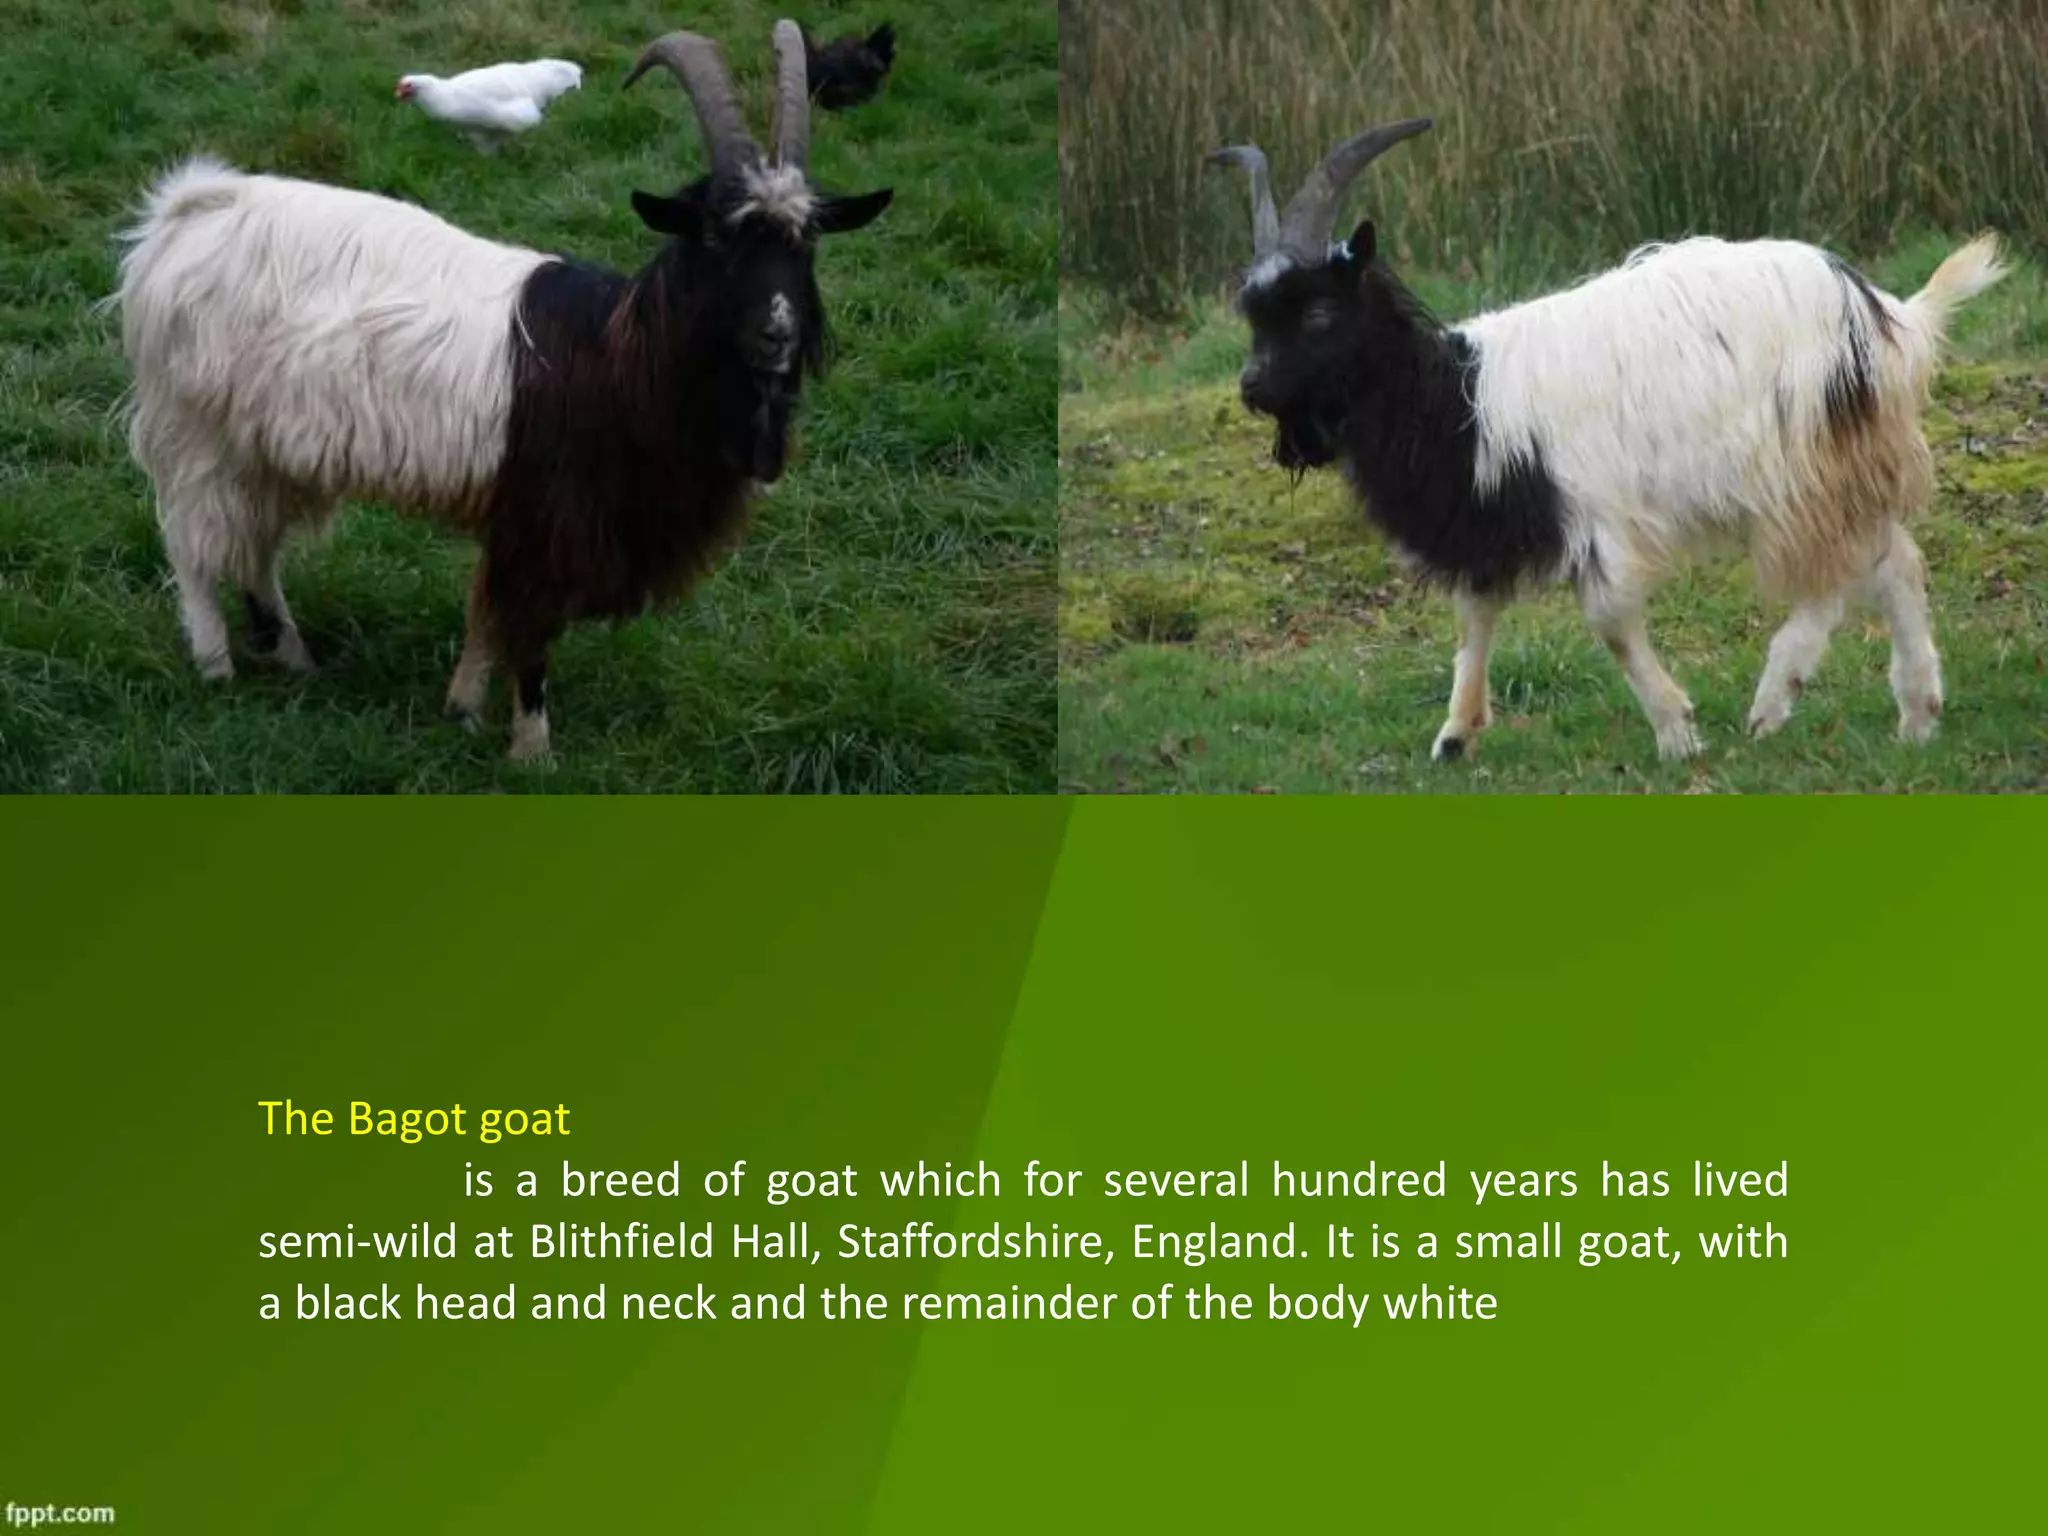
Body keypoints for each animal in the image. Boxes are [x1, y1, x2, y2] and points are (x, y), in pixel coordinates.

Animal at [117, 23, 891, 762]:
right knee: (192, 541)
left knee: (255, 549)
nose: (777, 331)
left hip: (268, 449)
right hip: (201, 430)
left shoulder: (518, 514)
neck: (621, 357)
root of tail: (185, 213)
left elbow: (486, 614)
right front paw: (531, 750)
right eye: (715, 237)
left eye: (807, 241)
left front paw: (460, 708)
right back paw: (216, 665)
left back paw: (295, 657)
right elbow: (528, 631)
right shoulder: (551, 517)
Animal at [1209, 122, 2007, 763]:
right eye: (1253, 314)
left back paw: (1775, 696)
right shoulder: (1490, 513)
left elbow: (1611, 626)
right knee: (1895, 561)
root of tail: (1886, 314)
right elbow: (1475, 617)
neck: (1457, 401)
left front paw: (1676, 731)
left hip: (1799, 469)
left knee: (1841, 575)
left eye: (1317, 312)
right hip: (1843, 464)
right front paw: (1455, 735)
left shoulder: (1596, 522)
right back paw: (1916, 715)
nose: (1251, 386)